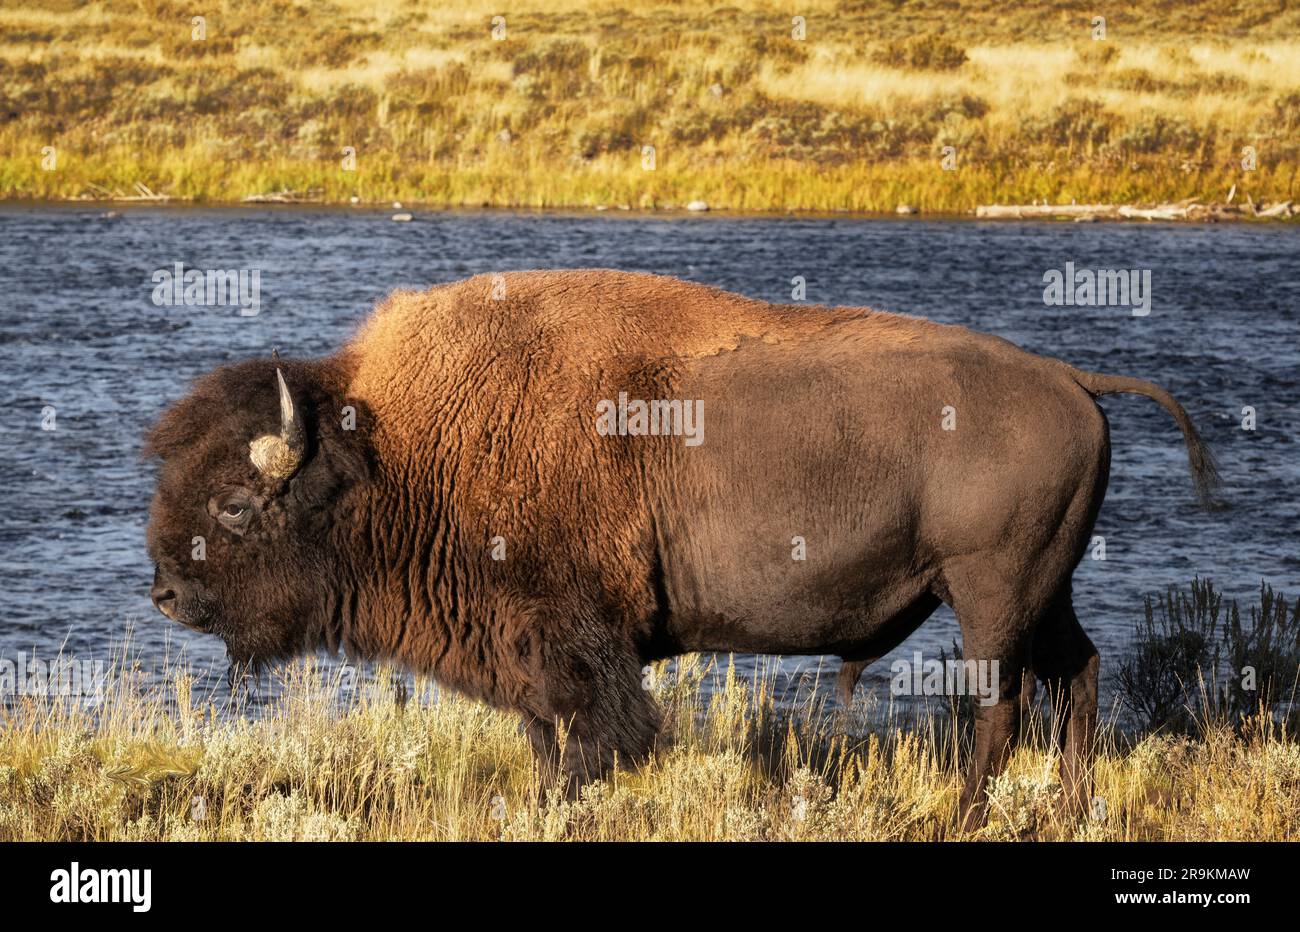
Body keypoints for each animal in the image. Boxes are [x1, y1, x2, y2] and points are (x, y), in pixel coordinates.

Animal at [145, 270, 1218, 825]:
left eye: (235, 507)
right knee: (1078, 675)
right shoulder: (532, 656)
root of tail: (1071, 379)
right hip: (1045, 591)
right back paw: (1072, 811)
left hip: (987, 592)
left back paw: (958, 821)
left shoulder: (579, 643)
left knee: (1001, 708)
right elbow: (546, 745)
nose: (163, 592)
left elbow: (593, 743)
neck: (399, 450)